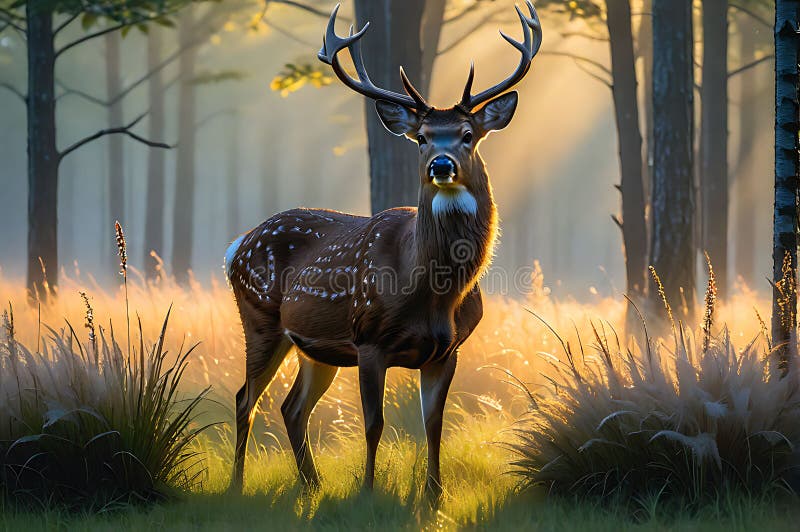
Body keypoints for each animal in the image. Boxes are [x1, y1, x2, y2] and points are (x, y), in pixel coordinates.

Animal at [226, 1, 542, 498]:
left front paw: (434, 495)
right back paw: (239, 485)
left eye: (468, 133)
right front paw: (368, 492)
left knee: (292, 407)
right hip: (259, 317)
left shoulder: (447, 351)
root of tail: (237, 245)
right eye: (422, 136)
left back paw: (313, 485)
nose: (441, 165)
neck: (433, 293)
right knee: (245, 398)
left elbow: (434, 424)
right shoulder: (369, 338)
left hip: (314, 346)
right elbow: (373, 424)